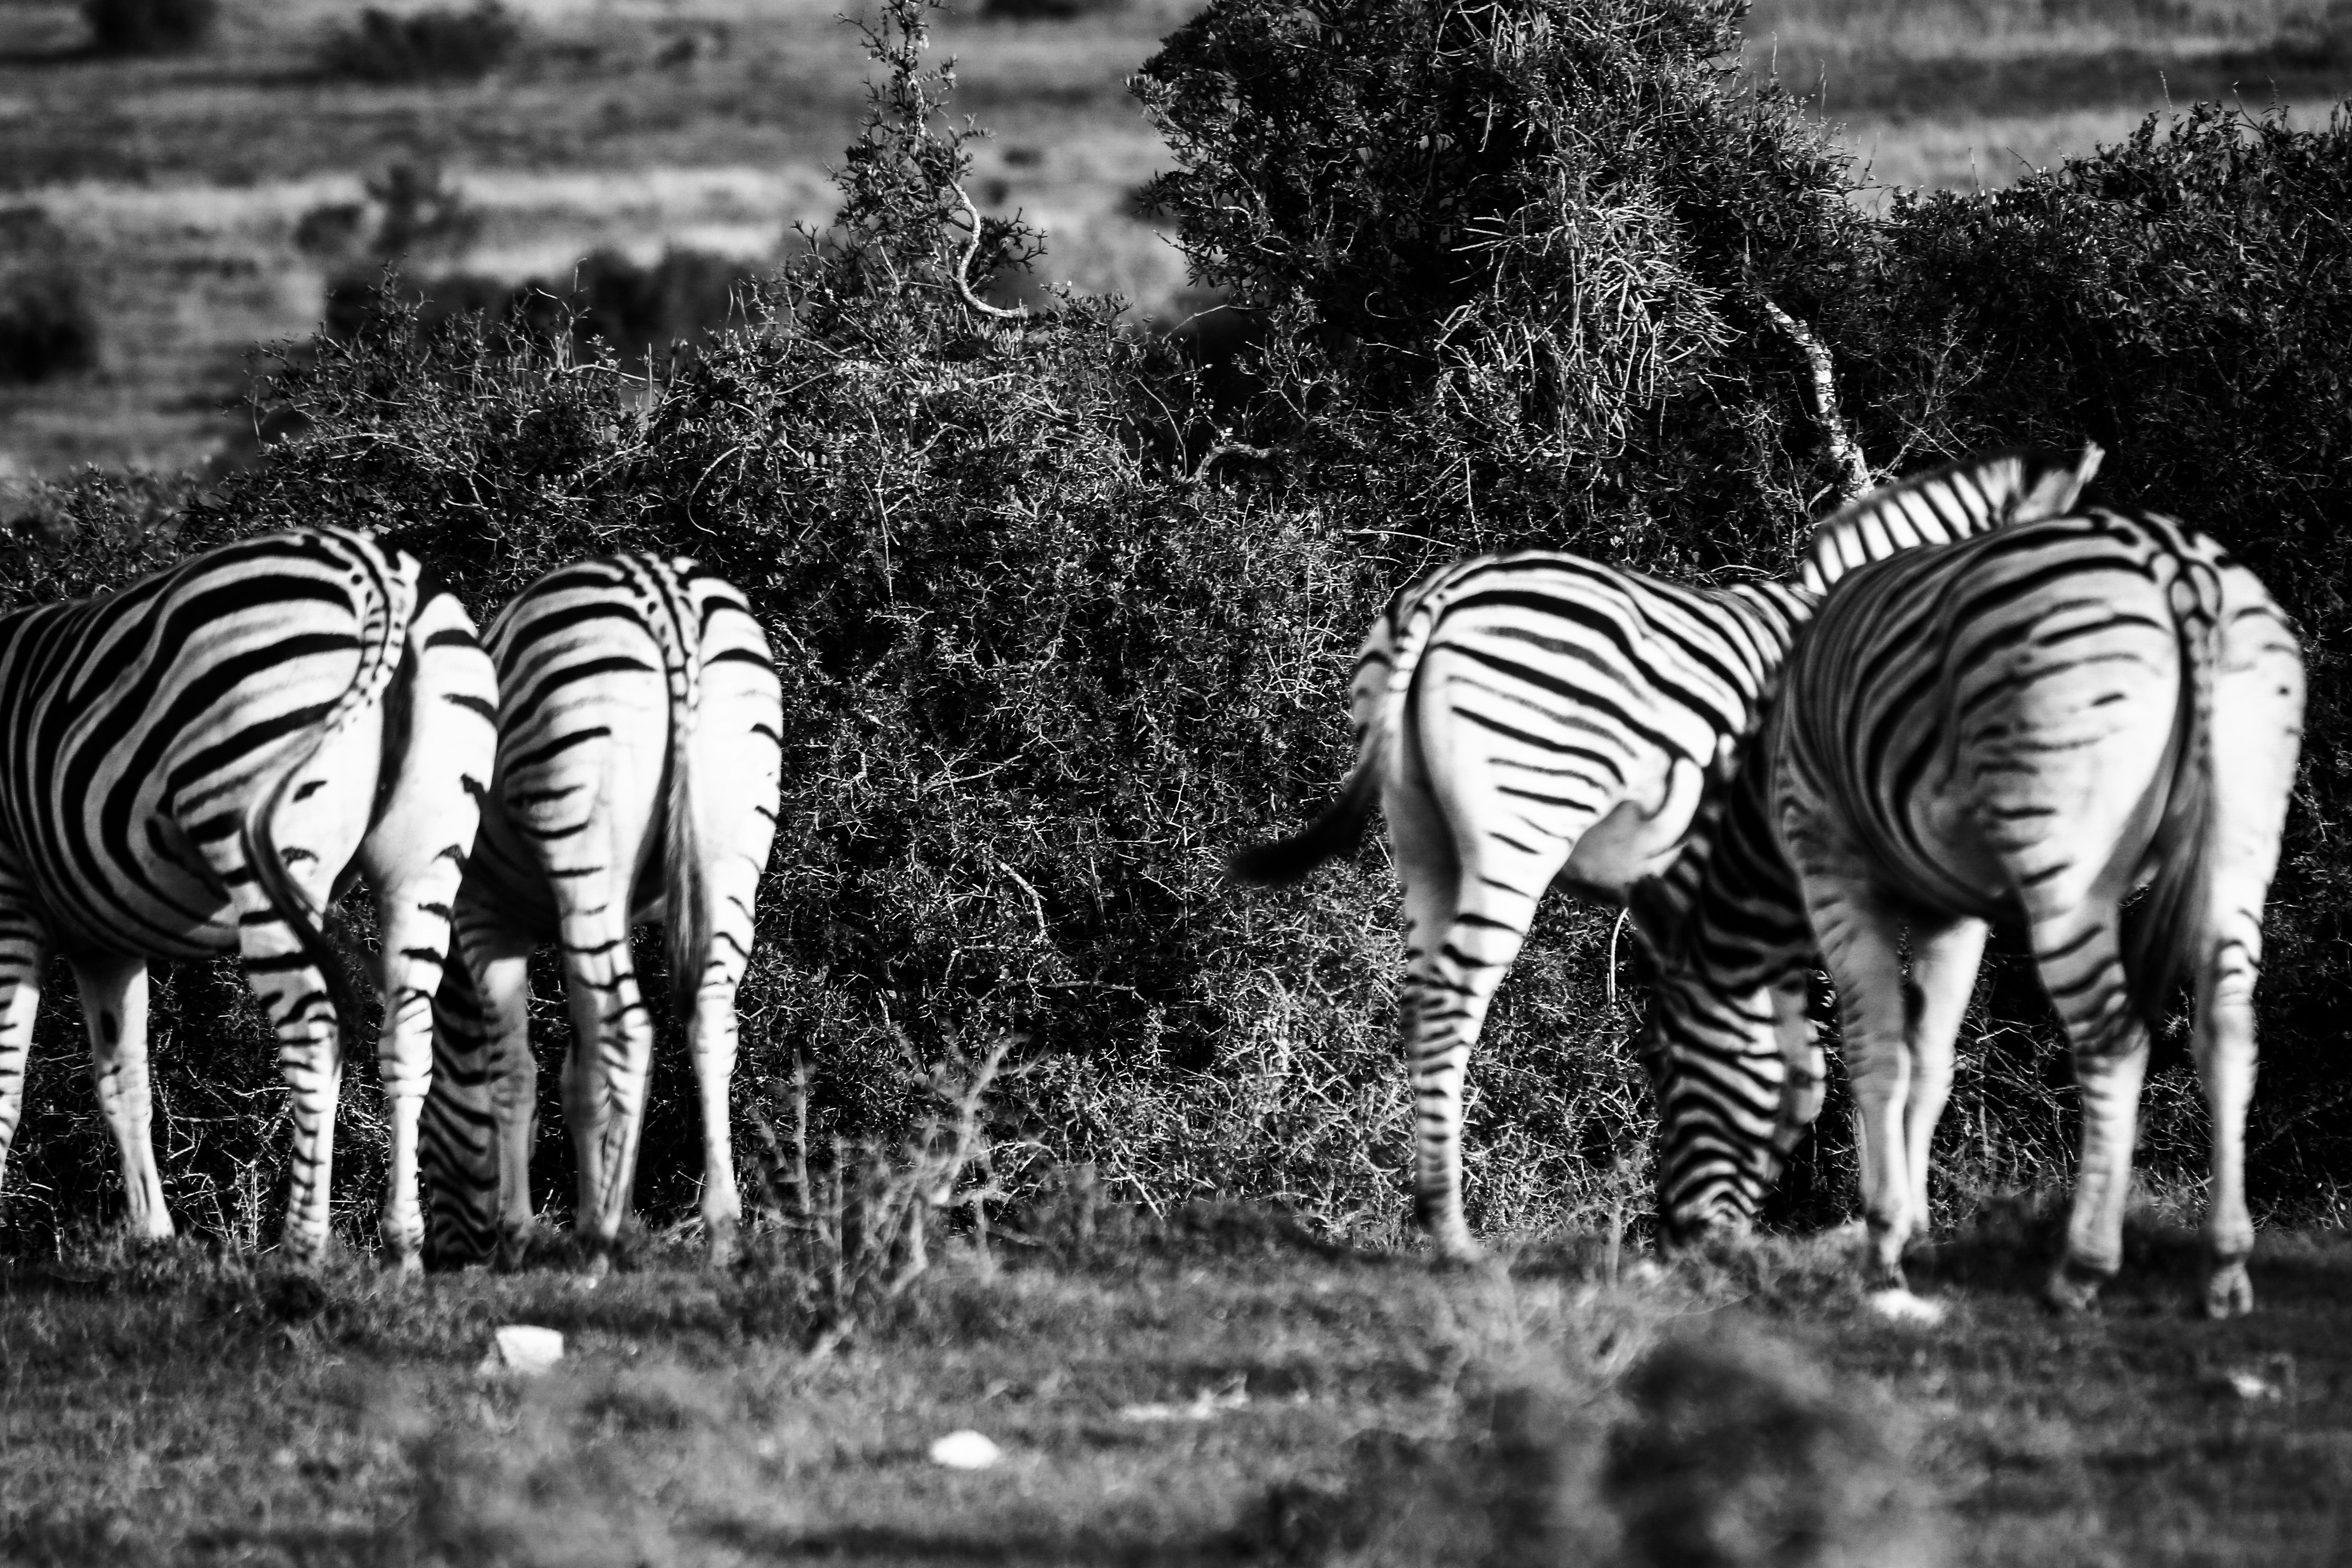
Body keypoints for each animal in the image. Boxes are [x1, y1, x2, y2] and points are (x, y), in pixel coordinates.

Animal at [0, 527, 497, 1268]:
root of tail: (381, 576)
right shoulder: (102, 941)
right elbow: (123, 1082)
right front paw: (154, 1240)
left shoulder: (11, 896)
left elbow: (6, 1081)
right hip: (427, 860)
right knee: (410, 1036)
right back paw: (405, 1248)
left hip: (260, 834)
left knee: (317, 1036)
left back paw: (303, 1249)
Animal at [420, 553, 782, 1271]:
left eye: (424, 1137)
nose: (450, 1262)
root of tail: (669, 599)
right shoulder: (583, 921)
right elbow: (583, 1076)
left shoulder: (486, 918)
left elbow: (517, 1071)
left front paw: (519, 1234)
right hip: (730, 859)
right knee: (710, 1024)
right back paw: (718, 1229)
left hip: (581, 837)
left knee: (631, 1028)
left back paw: (604, 1235)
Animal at [1229, 447, 2102, 1261]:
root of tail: (1447, 591)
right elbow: (1885, 1052)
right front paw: (1871, 1227)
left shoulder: (1748, 910)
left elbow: (1796, 1068)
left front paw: (1741, 1224)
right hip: (1523, 824)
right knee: (1452, 1004)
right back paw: (1453, 1235)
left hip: (1422, 840)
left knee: (1417, 1002)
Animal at [1638, 508, 2304, 1317]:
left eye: (1662, 1061)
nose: (1673, 1237)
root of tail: (2175, 561)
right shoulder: (1948, 913)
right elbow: (1931, 1061)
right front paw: (1913, 1232)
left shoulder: (1832, 868)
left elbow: (1875, 1051)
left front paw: (1882, 1243)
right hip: (2239, 847)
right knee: (2228, 1030)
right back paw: (2226, 1270)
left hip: (2064, 863)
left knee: (2113, 1038)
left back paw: (2080, 1269)